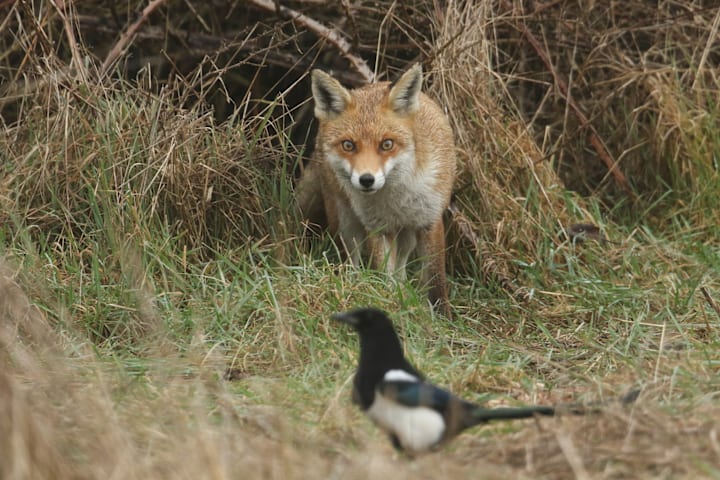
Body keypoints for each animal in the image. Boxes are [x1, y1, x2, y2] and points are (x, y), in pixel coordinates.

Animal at [298, 64, 456, 316]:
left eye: (387, 144)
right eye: (348, 145)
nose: (366, 180)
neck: (396, 196)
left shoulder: (429, 221)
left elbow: (436, 281)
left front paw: (442, 317)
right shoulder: (376, 228)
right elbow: (383, 273)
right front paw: (389, 301)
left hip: (406, 235)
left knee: (402, 261)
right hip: (344, 221)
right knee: (350, 258)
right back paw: (351, 287)